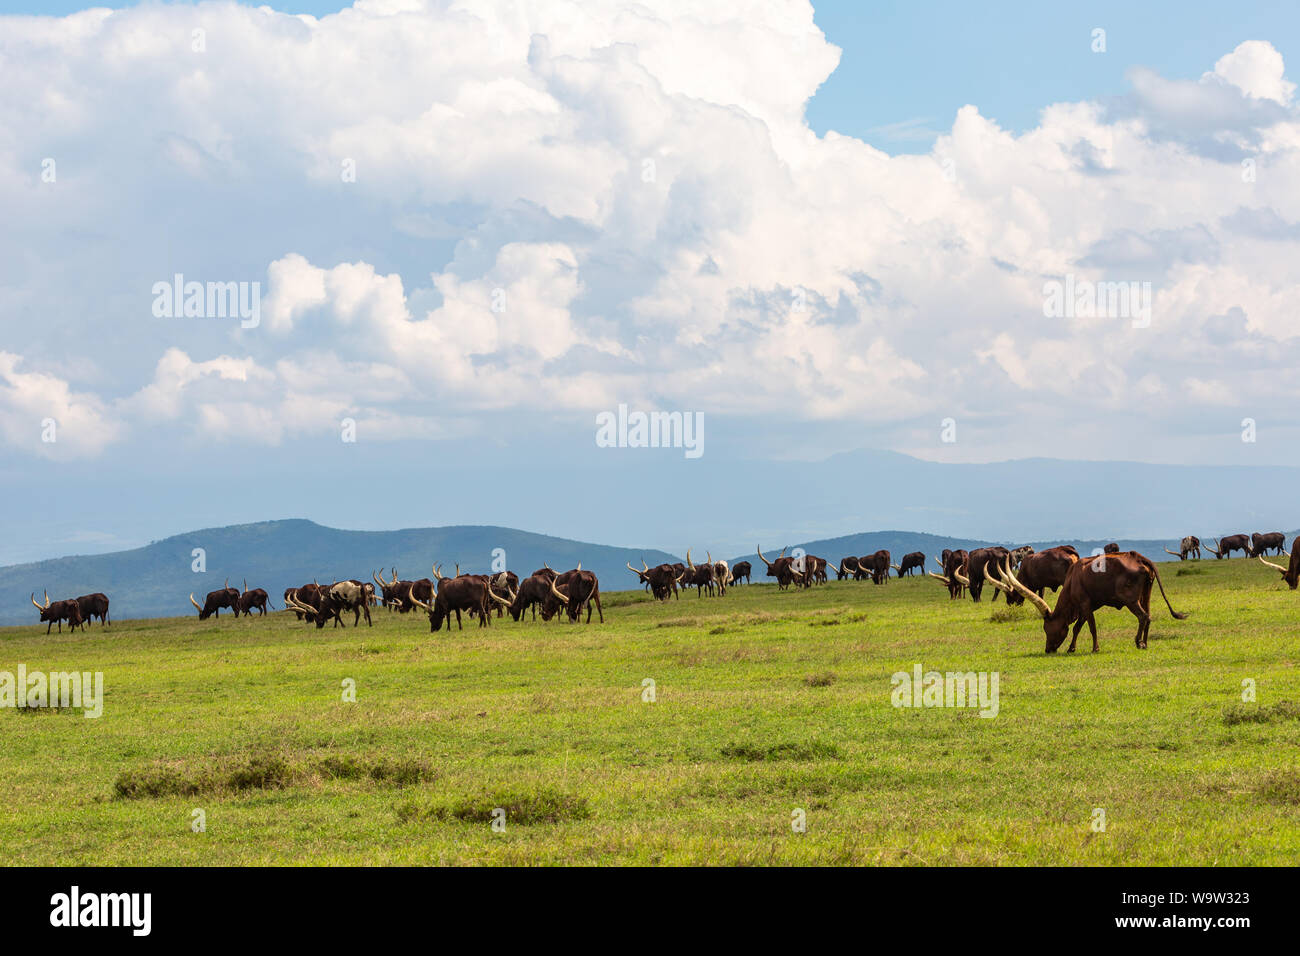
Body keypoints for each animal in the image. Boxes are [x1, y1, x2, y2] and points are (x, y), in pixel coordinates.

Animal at [995, 552, 1186, 652]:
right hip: (1146, 594)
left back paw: (1138, 641)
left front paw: (1095, 648)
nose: (1048, 649)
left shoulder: (1085, 604)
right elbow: (1077, 627)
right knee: (1149, 616)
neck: (1072, 579)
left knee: (1143, 616)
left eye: (1047, 629)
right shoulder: (1086, 607)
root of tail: (1139, 557)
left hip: (1131, 600)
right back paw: (1145, 643)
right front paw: (1071, 648)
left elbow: (1091, 627)